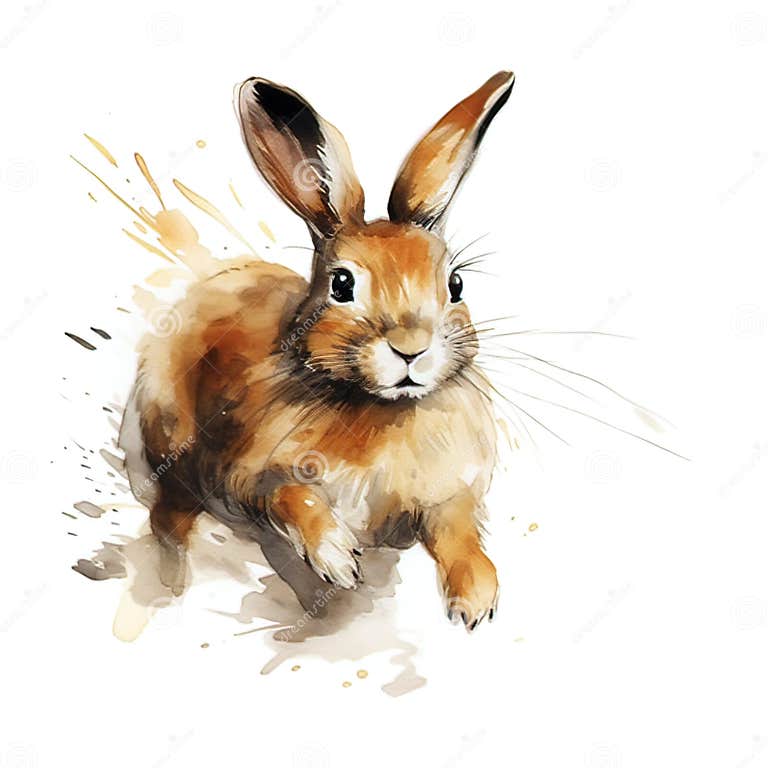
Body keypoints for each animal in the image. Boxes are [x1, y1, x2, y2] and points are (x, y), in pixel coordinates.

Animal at [121, 70, 515, 630]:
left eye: (456, 284)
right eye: (342, 284)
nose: (411, 350)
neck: (381, 407)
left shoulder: (449, 494)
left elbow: (458, 532)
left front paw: (477, 597)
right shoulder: (250, 476)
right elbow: (294, 498)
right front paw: (338, 558)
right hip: (171, 439)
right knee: (169, 514)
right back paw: (170, 577)